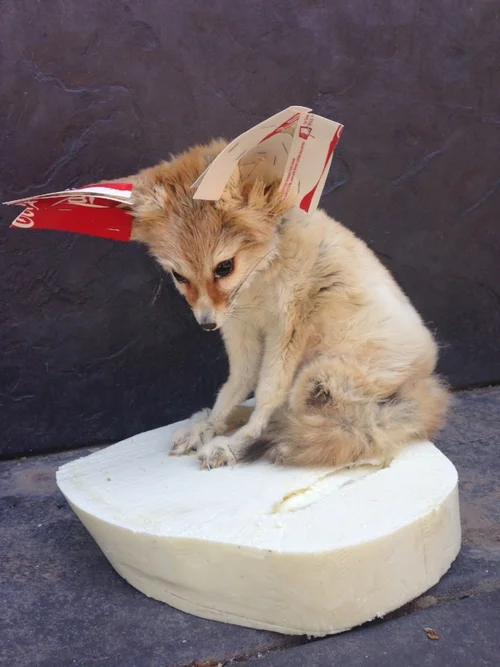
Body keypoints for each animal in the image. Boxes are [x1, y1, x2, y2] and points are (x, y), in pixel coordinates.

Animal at [128, 139, 449, 470]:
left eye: (224, 267)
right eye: (179, 276)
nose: (206, 325)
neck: (259, 281)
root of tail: (424, 384)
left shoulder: (288, 327)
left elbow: (268, 394)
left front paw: (236, 444)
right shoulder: (238, 327)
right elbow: (235, 385)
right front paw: (210, 425)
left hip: (316, 375)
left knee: (308, 415)